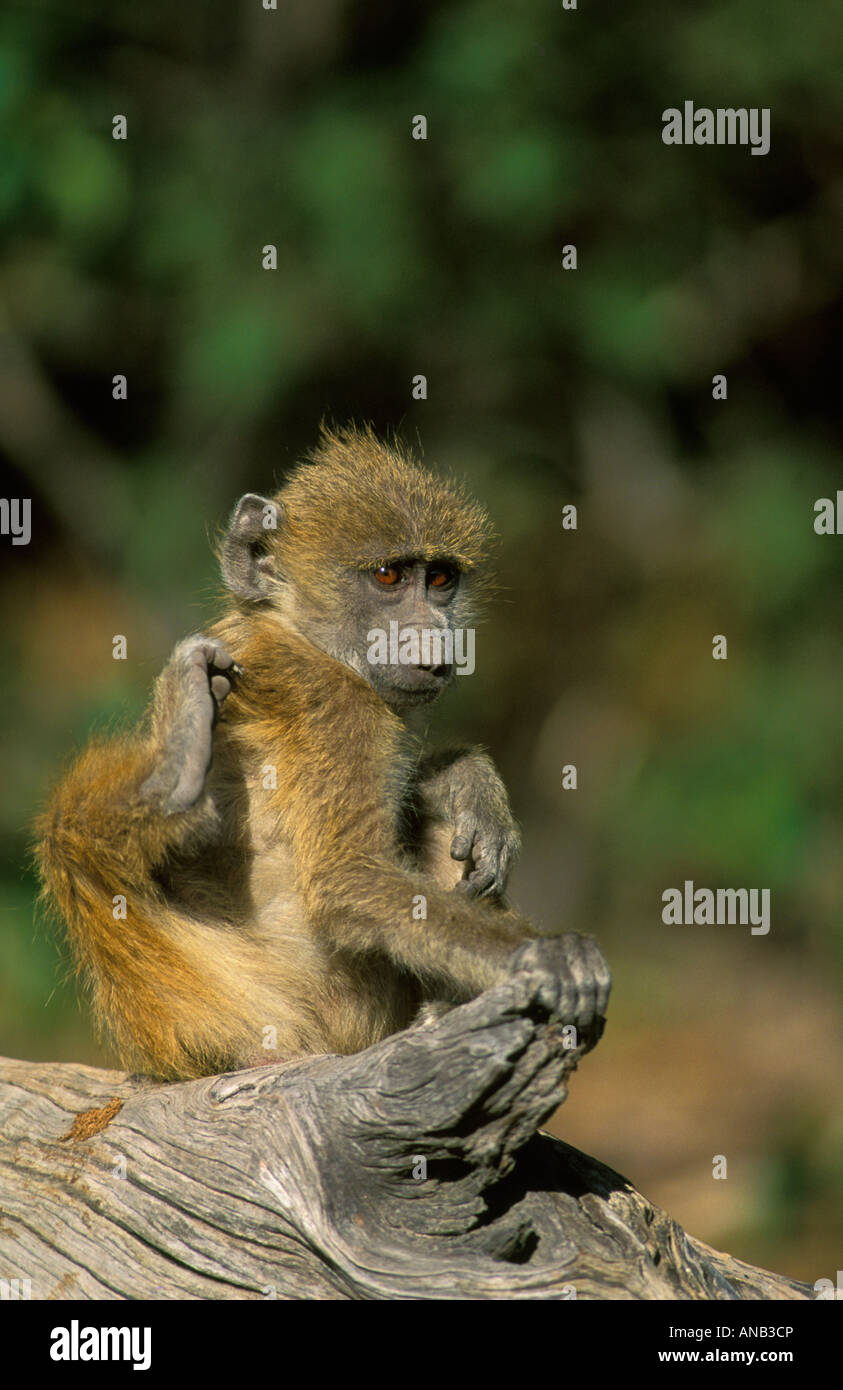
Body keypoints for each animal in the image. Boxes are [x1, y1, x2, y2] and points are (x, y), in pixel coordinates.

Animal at [36, 425, 610, 1080]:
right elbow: (350, 882)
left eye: (440, 580)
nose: (434, 639)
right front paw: (545, 952)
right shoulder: (339, 707)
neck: (298, 634)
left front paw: (468, 781)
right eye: (387, 576)